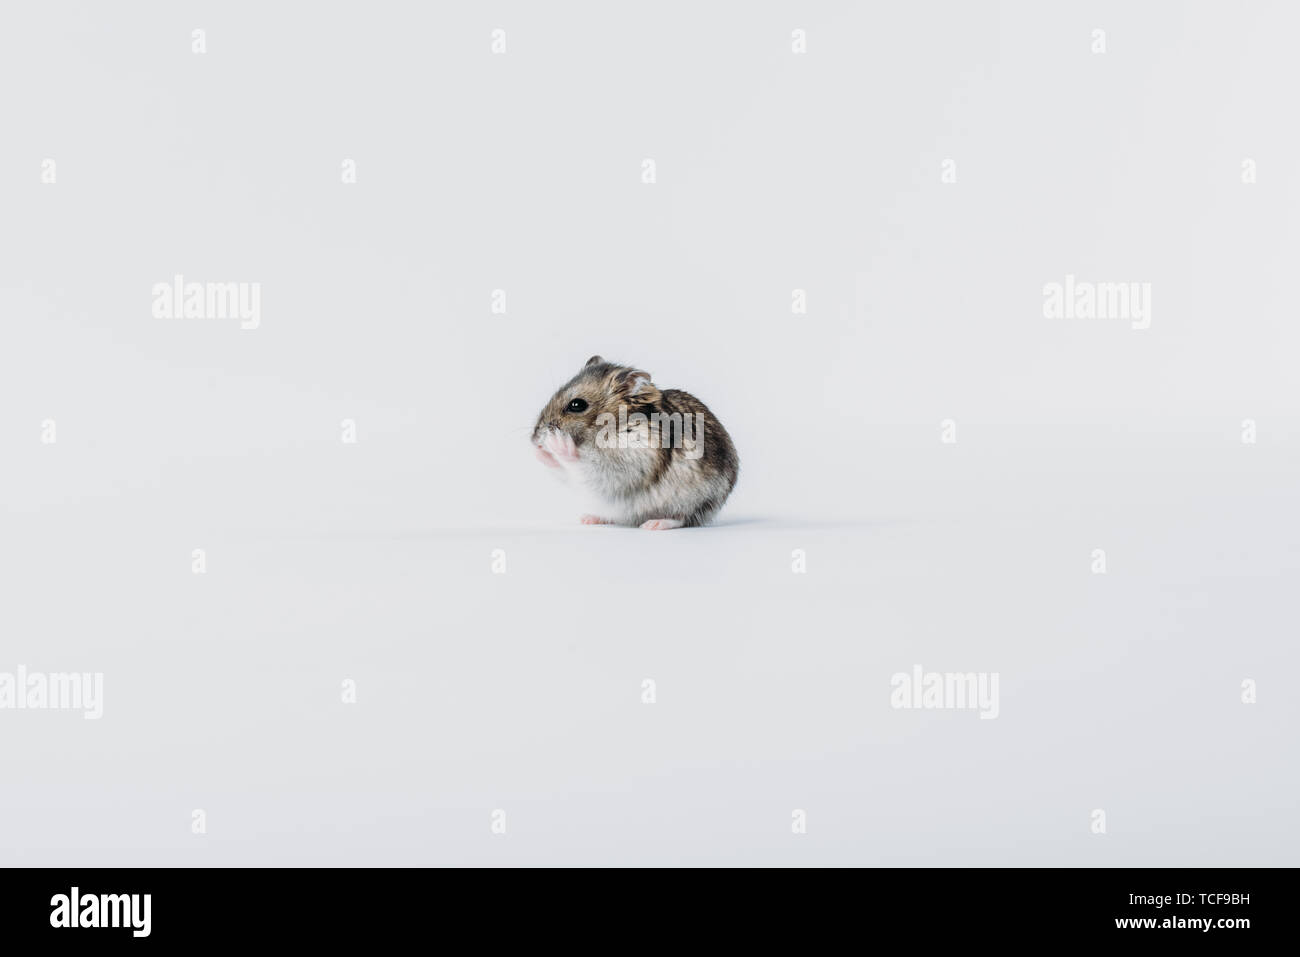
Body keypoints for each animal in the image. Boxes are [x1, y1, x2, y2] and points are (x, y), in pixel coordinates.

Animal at [531, 356, 739, 529]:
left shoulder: (632, 460)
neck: (614, 424)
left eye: (577, 405)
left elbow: (585, 462)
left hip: (694, 500)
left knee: (683, 518)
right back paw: (590, 518)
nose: (534, 439)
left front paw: (558, 442)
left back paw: (654, 524)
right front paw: (540, 452)